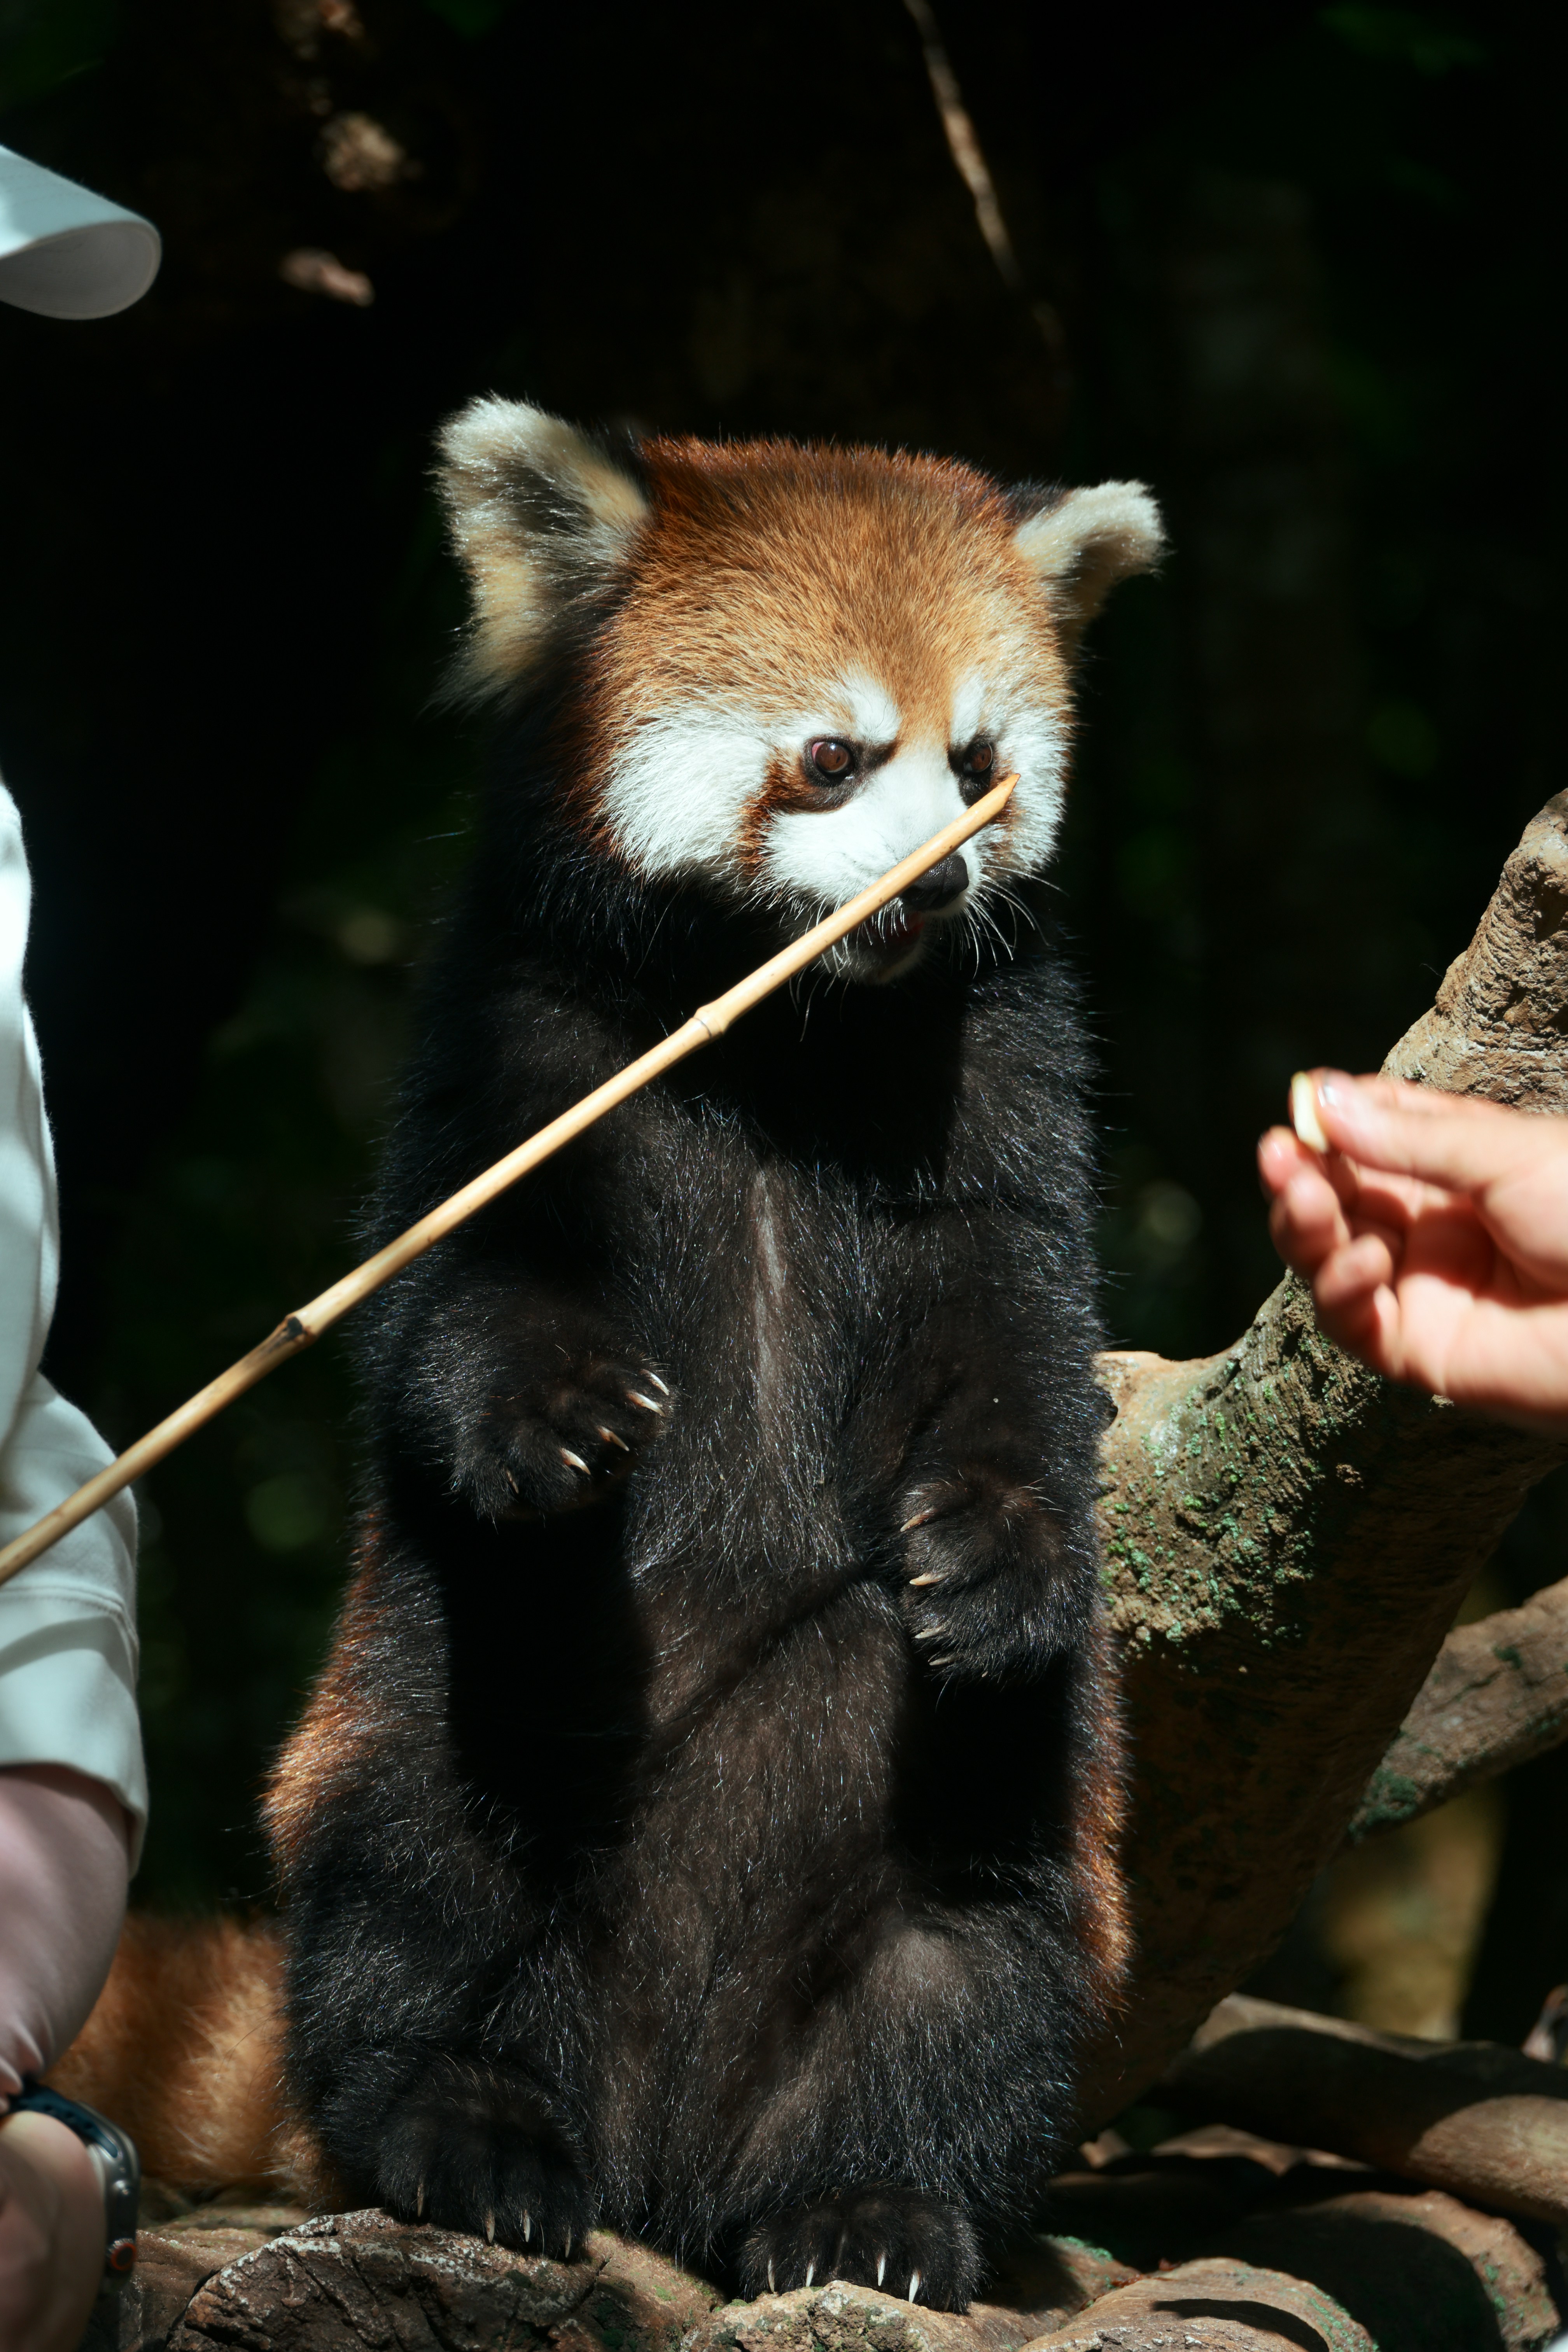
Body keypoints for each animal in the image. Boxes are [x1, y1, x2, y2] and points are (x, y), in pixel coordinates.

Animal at [262, 405, 1163, 2311]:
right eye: (832, 758)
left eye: (979, 766)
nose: (935, 878)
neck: (787, 1034)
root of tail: (663, 2147)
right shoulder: (512, 1040)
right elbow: (459, 1307)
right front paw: (553, 1419)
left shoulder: (1004, 1093)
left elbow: (1020, 1350)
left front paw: (993, 1547)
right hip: (431, 1717)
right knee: (414, 1877)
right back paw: (466, 2133)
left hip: (995, 1834)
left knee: (975, 1957)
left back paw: (868, 2212)